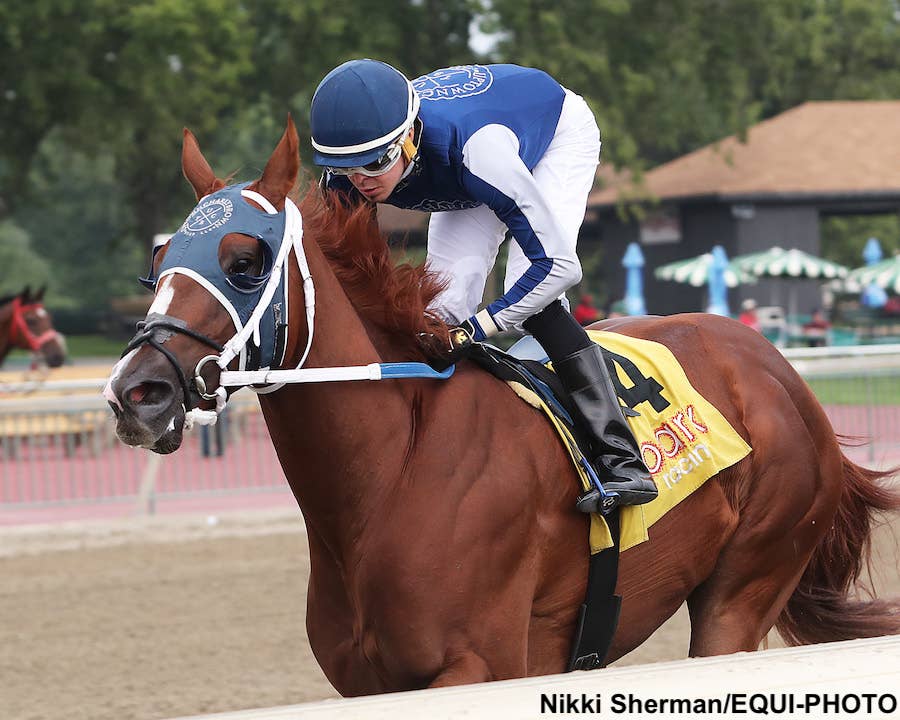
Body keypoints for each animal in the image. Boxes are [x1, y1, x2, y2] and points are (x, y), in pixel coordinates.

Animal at [105, 119, 900, 696]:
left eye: (245, 262)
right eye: (158, 263)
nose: (136, 393)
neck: (390, 476)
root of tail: (775, 368)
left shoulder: (479, 665)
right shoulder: (367, 684)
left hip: (746, 585)